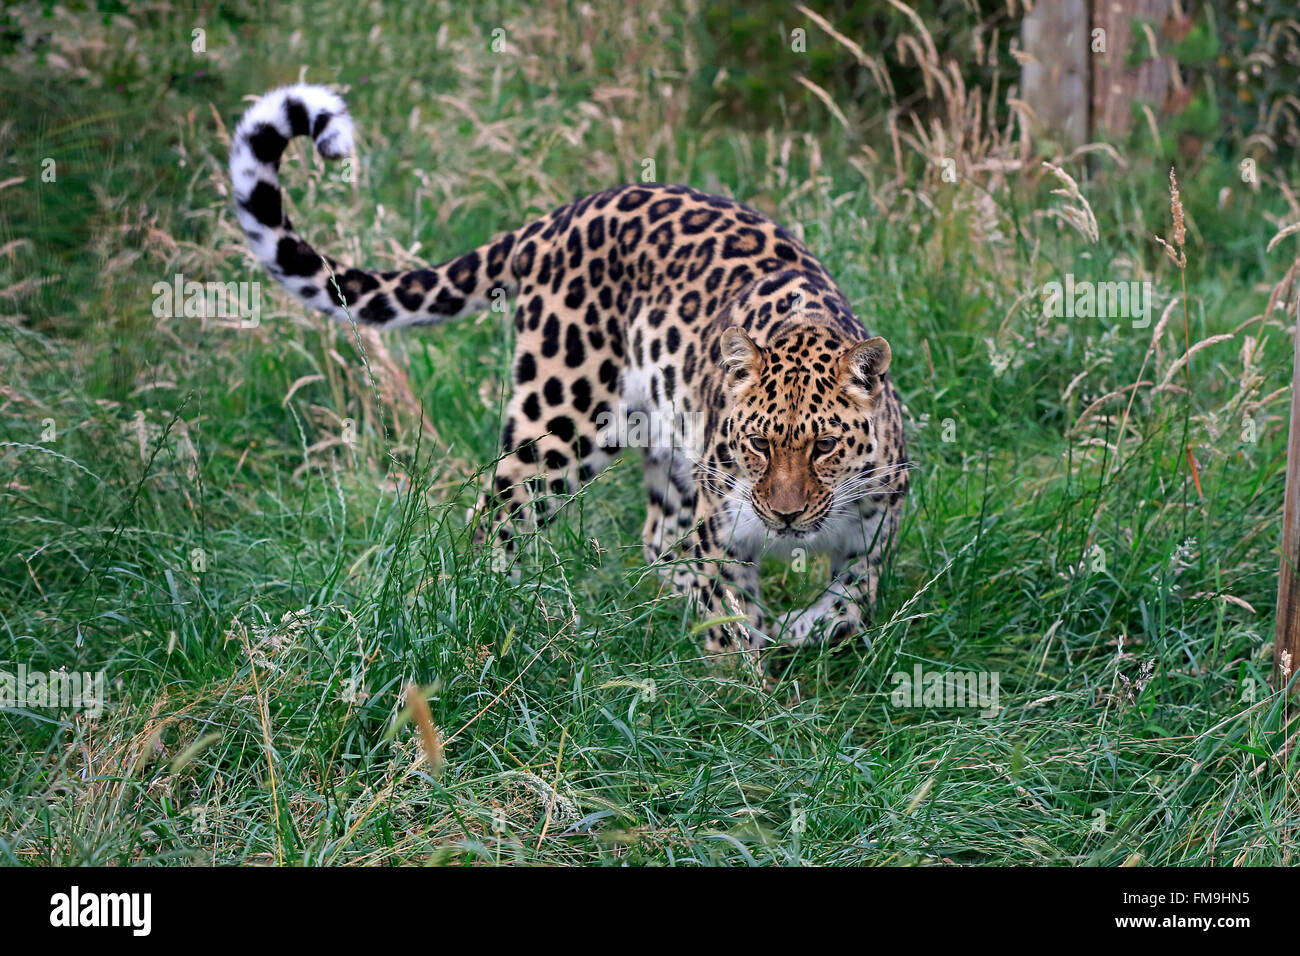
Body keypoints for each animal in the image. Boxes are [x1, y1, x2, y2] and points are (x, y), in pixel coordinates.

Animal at [229, 84, 909, 663]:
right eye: (758, 444)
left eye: (824, 445)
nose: (786, 519)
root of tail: (553, 218)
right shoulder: (723, 531)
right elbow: (730, 619)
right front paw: (747, 697)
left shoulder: (877, 527)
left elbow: (853, 604)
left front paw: (801, 630)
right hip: (561, 419)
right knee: (496, 519)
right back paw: (495, 615)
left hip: (663, 431)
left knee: (657, 534)